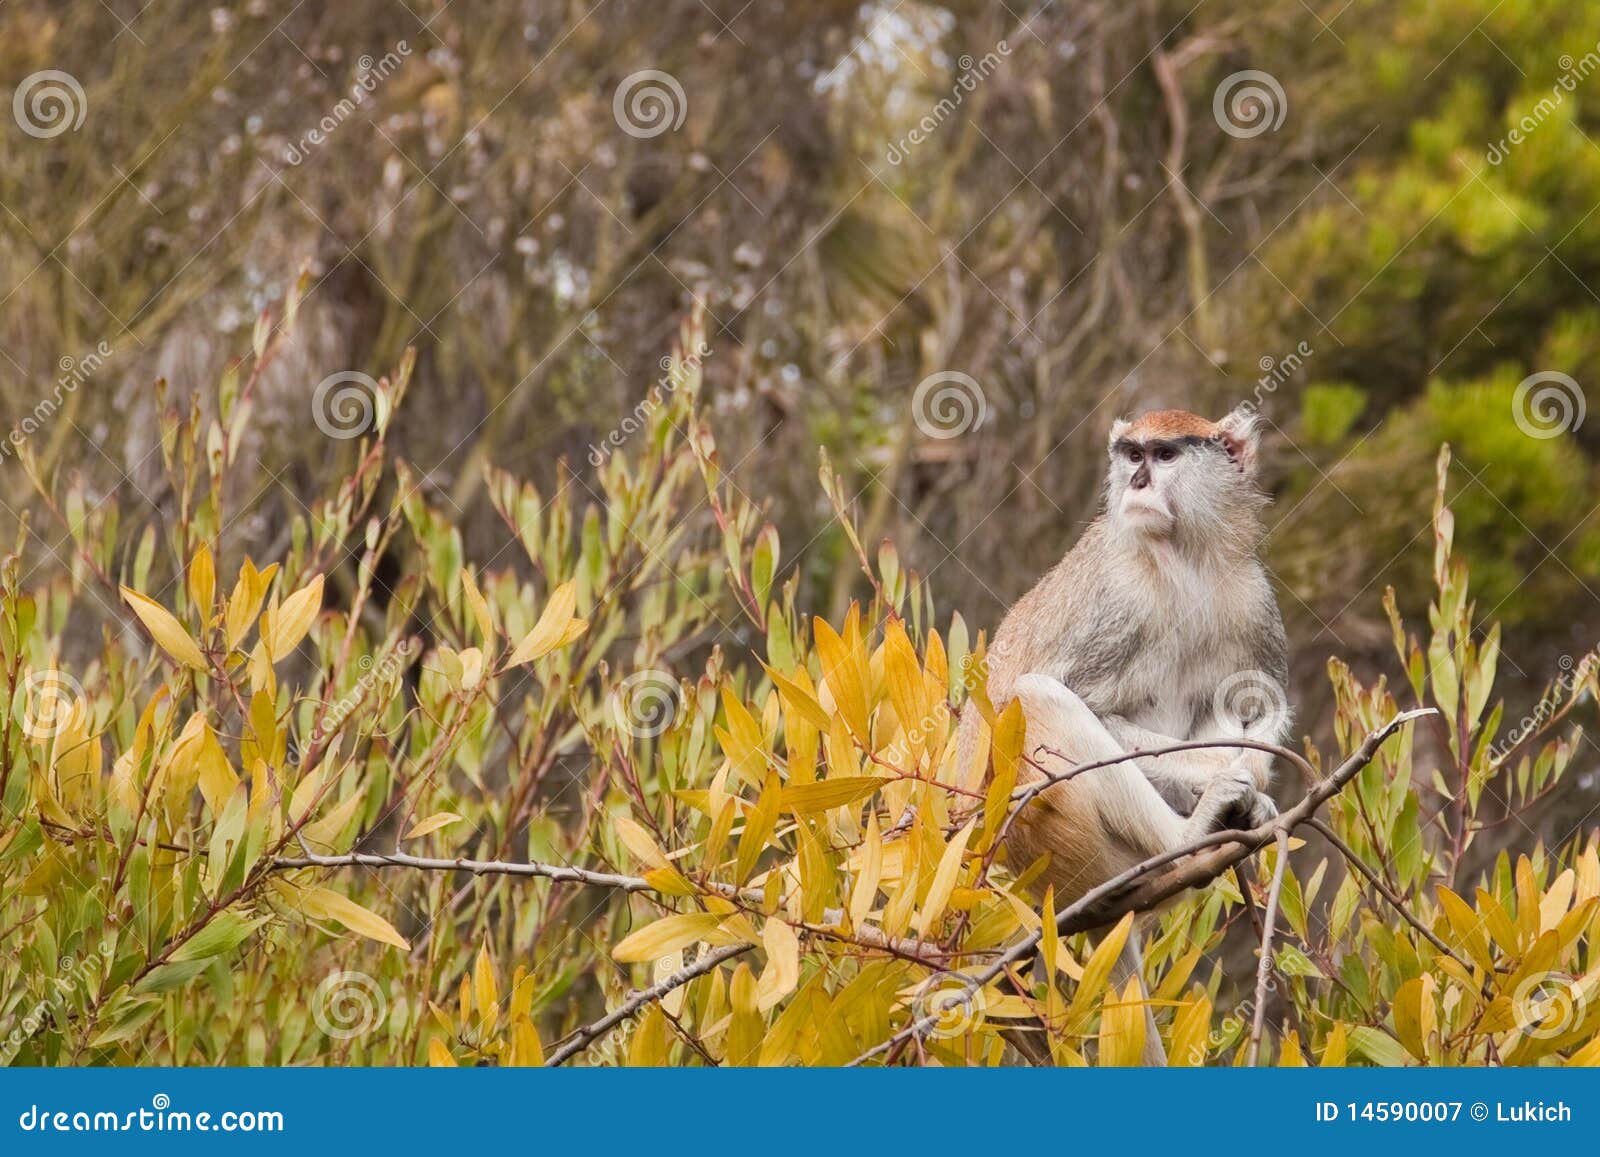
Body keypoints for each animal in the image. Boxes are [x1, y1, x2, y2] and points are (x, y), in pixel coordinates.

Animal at [954, 405, 1290, 1064]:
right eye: (1132, 455)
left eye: (1165, 456)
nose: (1136, 482)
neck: (1184, 558)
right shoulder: (1119, 606)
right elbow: (1086, 702)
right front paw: (1228, 775)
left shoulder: (1253, 598)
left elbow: (1254, 701)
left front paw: (1253, 778)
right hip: (1059, 849)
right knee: (1038, 697)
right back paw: (1187, 836)